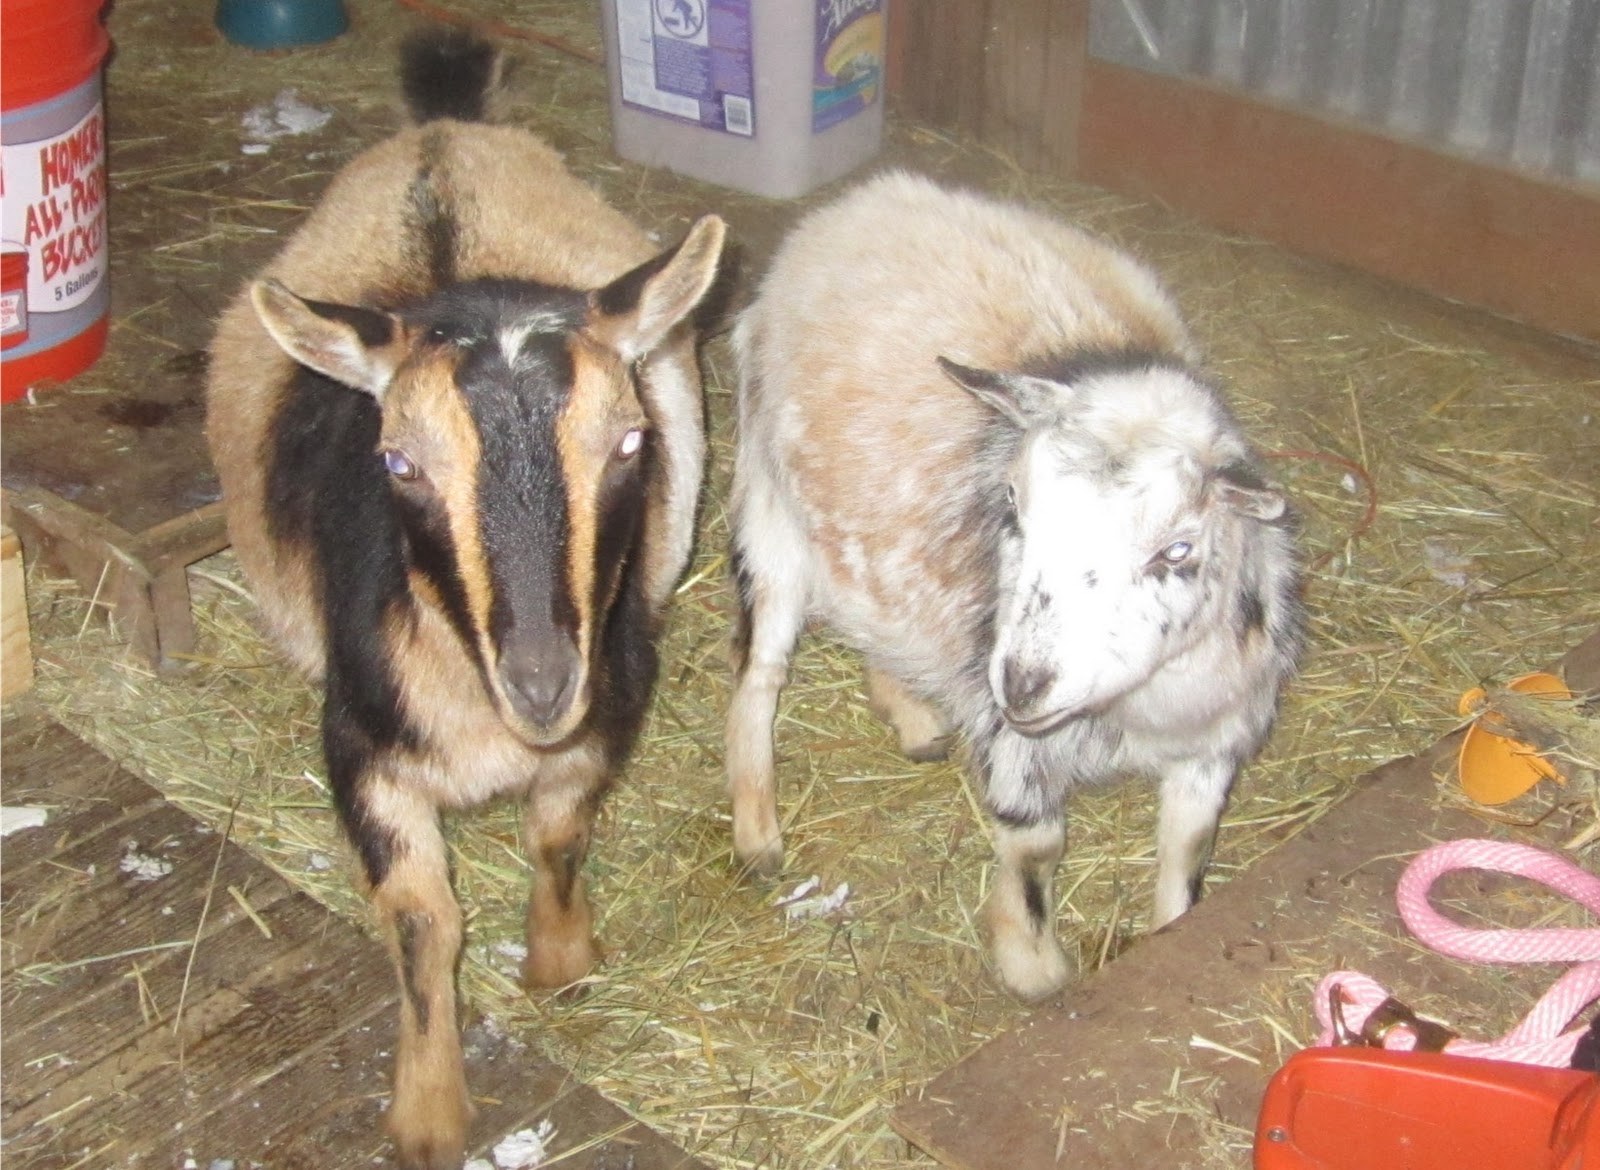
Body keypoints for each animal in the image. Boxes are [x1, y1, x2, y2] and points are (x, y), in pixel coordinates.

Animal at [205, 31, 726, 1168]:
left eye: (632, 441)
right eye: (397, 461)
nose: (540, 680)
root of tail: (442, 131)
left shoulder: (611, 698)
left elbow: (559, 834)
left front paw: (561, 961)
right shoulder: (359, 741)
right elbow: (420, 919)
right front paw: (428, 1114)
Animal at [725, 171, 1302, 1001]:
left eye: (1177, 550)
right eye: (1012, 506)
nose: (1024, 683)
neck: (1145, 709)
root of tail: (856, 202)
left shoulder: (1213, 746)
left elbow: (1188, 856)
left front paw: (1168, 936)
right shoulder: (1019, 749)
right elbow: (1035, 855)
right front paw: (1034, 967)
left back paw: (913, 717)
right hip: (768, 509)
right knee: (760, 671)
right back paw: (758, 830)